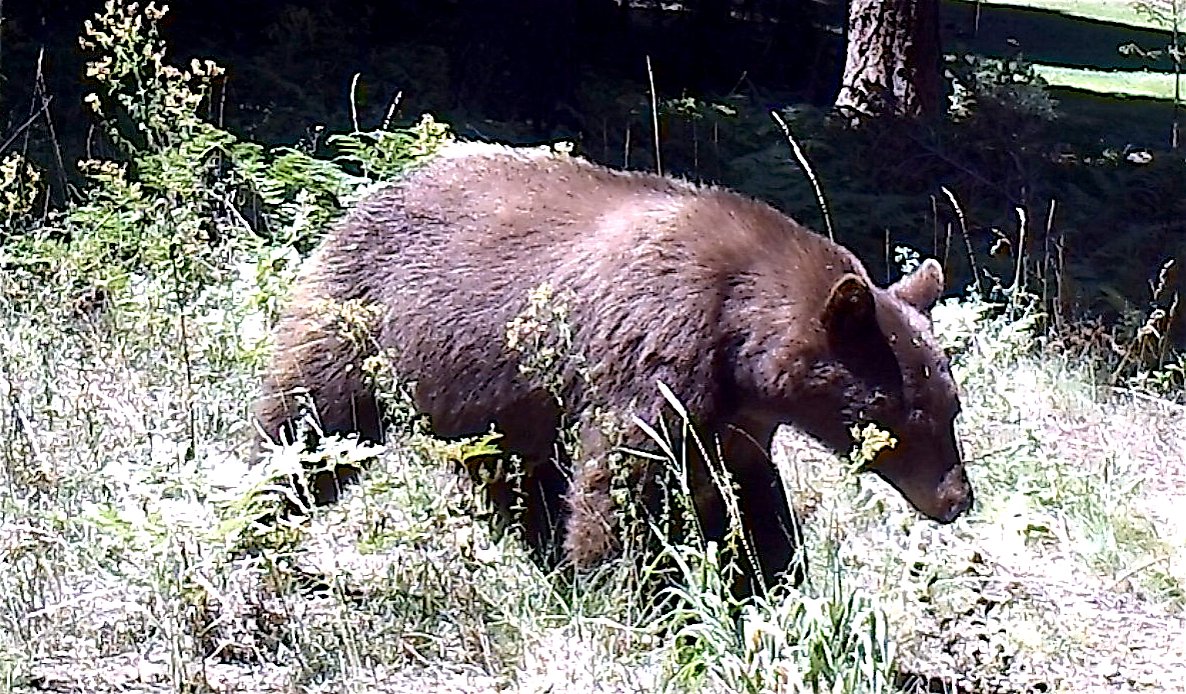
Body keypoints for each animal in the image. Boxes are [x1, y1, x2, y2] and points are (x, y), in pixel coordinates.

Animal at [253, 141, 973, 594]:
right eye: (899, 413)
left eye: (952, 407)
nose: (957, 499)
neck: (741, 333)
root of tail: (363, 199)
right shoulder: (656, 355)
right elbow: (621, 480)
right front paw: (620, 586)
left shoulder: (736, 420)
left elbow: (749, 495)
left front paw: (775, 579)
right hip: (359, 321)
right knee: (306, 425)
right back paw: (259, 514)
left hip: (489, 403)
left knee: (514, 474)